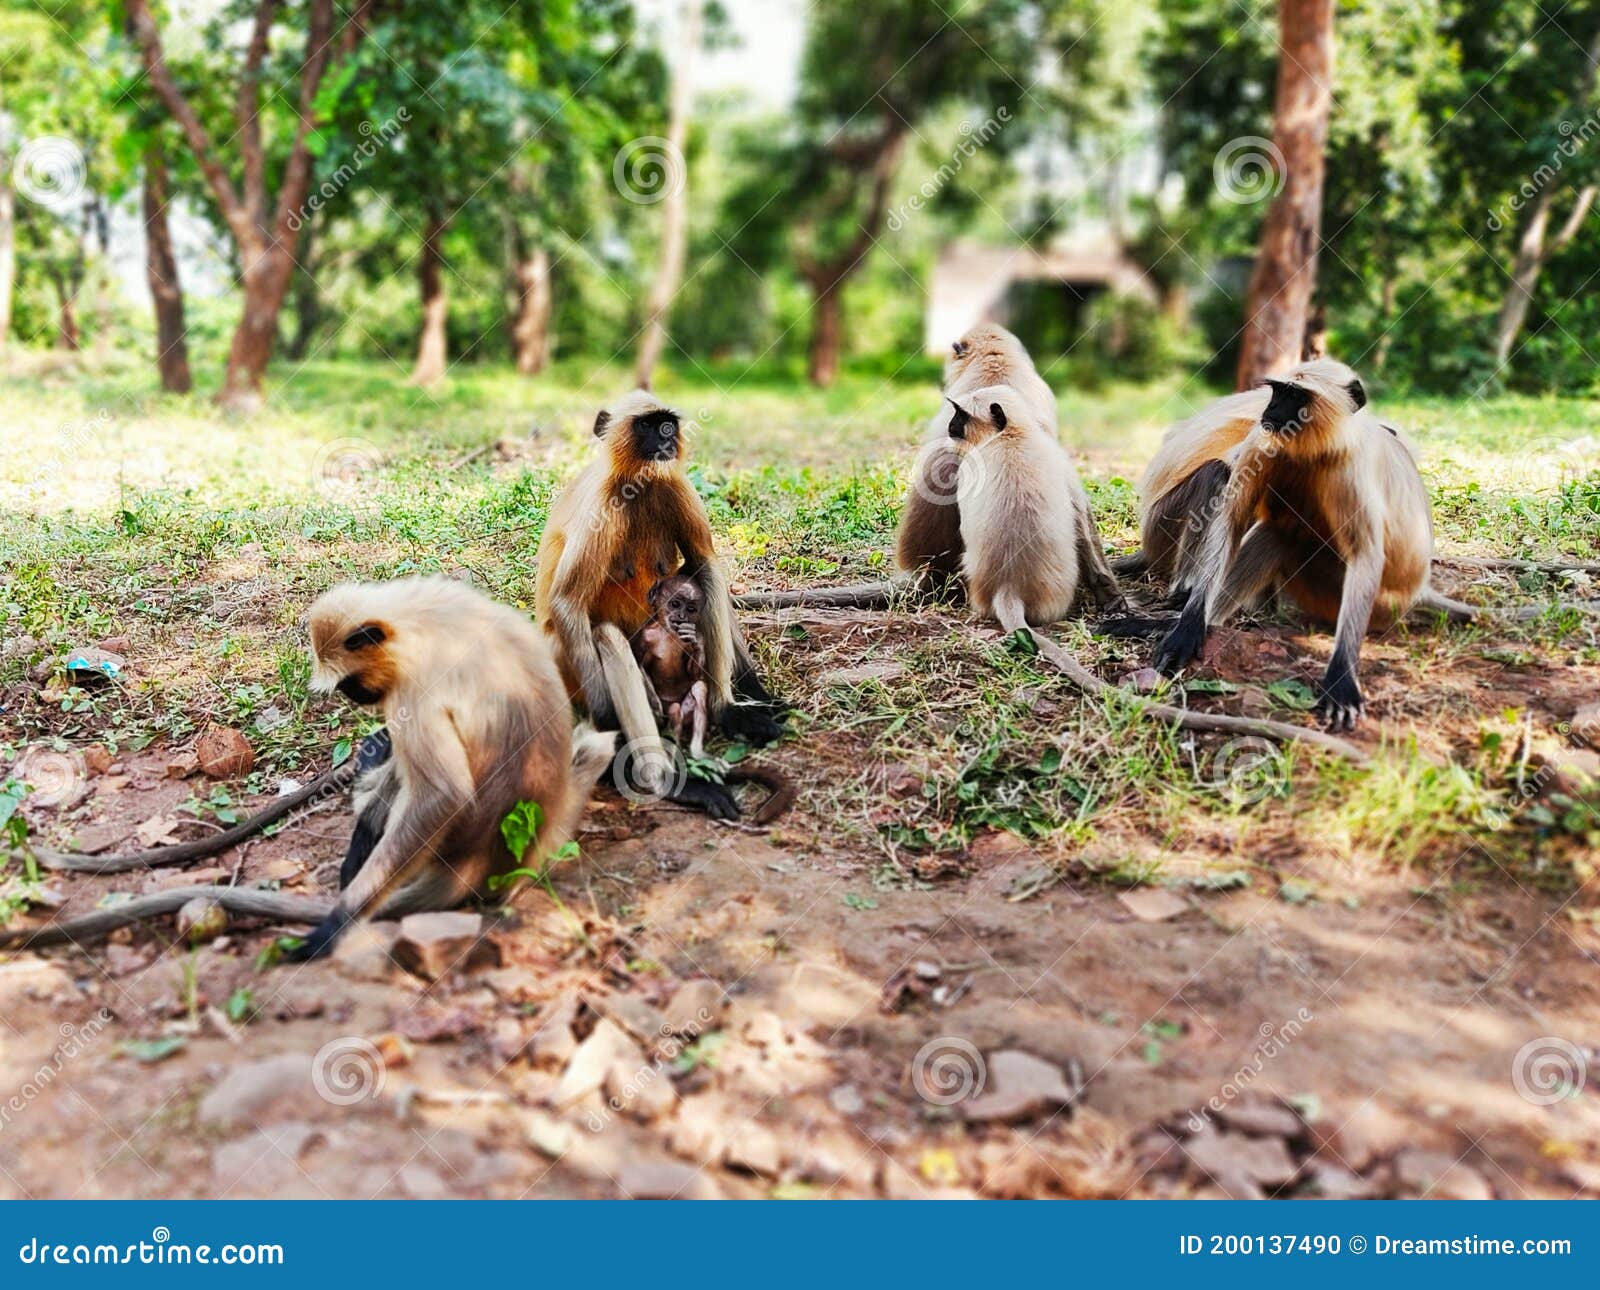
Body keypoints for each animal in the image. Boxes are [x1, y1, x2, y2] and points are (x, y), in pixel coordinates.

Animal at [535, 390, 786, 820]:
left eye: (668, 425)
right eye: (647, 426)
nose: (666, 439)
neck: (637, 482)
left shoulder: (673, 484)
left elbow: (704, 563)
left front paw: (728, 709)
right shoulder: (601, 505)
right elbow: (567, 601)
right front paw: (611, 728)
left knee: (702, 576)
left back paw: (745, 701)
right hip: (565, 665)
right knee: (606, 636)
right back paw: (668, 782)